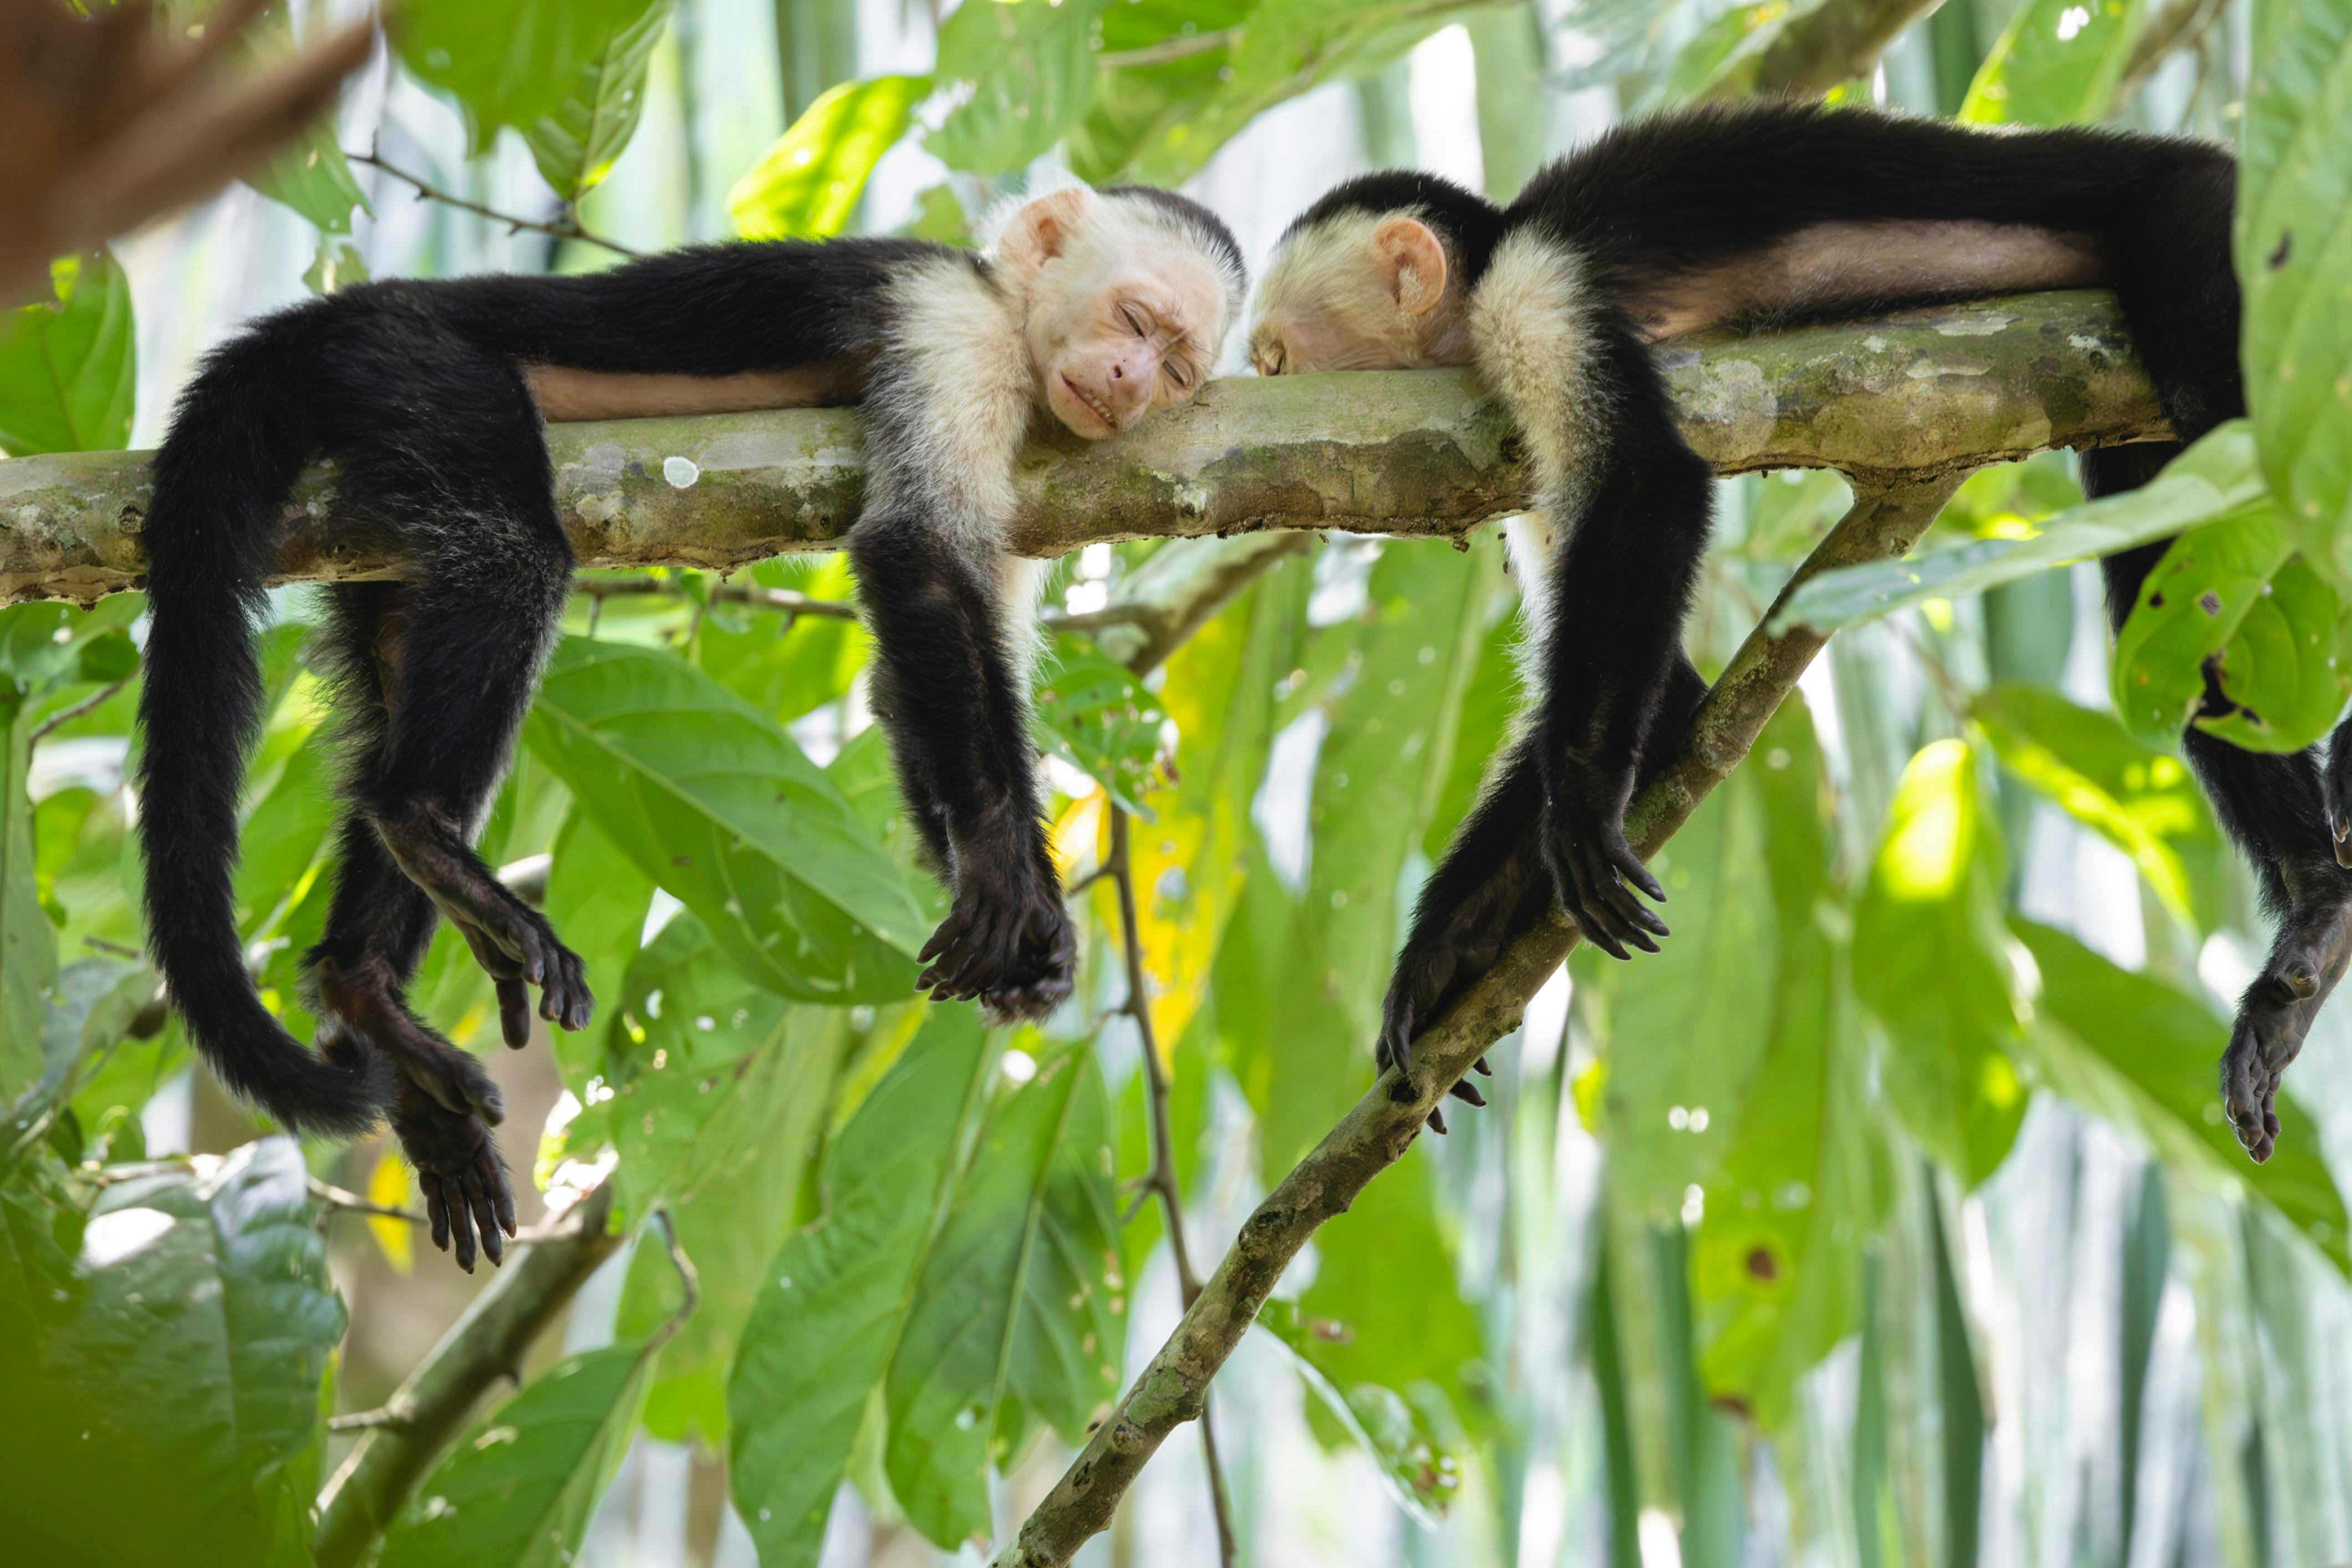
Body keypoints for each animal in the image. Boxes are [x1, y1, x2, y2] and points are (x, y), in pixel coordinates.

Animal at [137, 182, 1246, 1267]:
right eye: (1132, 319)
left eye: (1176, 368)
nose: (1128, 383)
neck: (1010, 323)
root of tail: (338, 312)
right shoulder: (949, 330)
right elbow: (918, 556)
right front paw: (997, 865)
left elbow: (917, 678)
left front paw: (1035, 921)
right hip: (407, 366)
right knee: (509, 550)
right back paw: (424, 830)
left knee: (401, 659)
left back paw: (368, 998)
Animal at [1250, 99, 2321, 1160]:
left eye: (1273, 360)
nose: (1260, 385)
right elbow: (1667, 693)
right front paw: (1441, 959)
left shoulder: (1534, 293)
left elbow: (1647, 486)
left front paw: (1583, 808)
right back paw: (2313, 917)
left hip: (2213, 224)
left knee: (2233, 435)